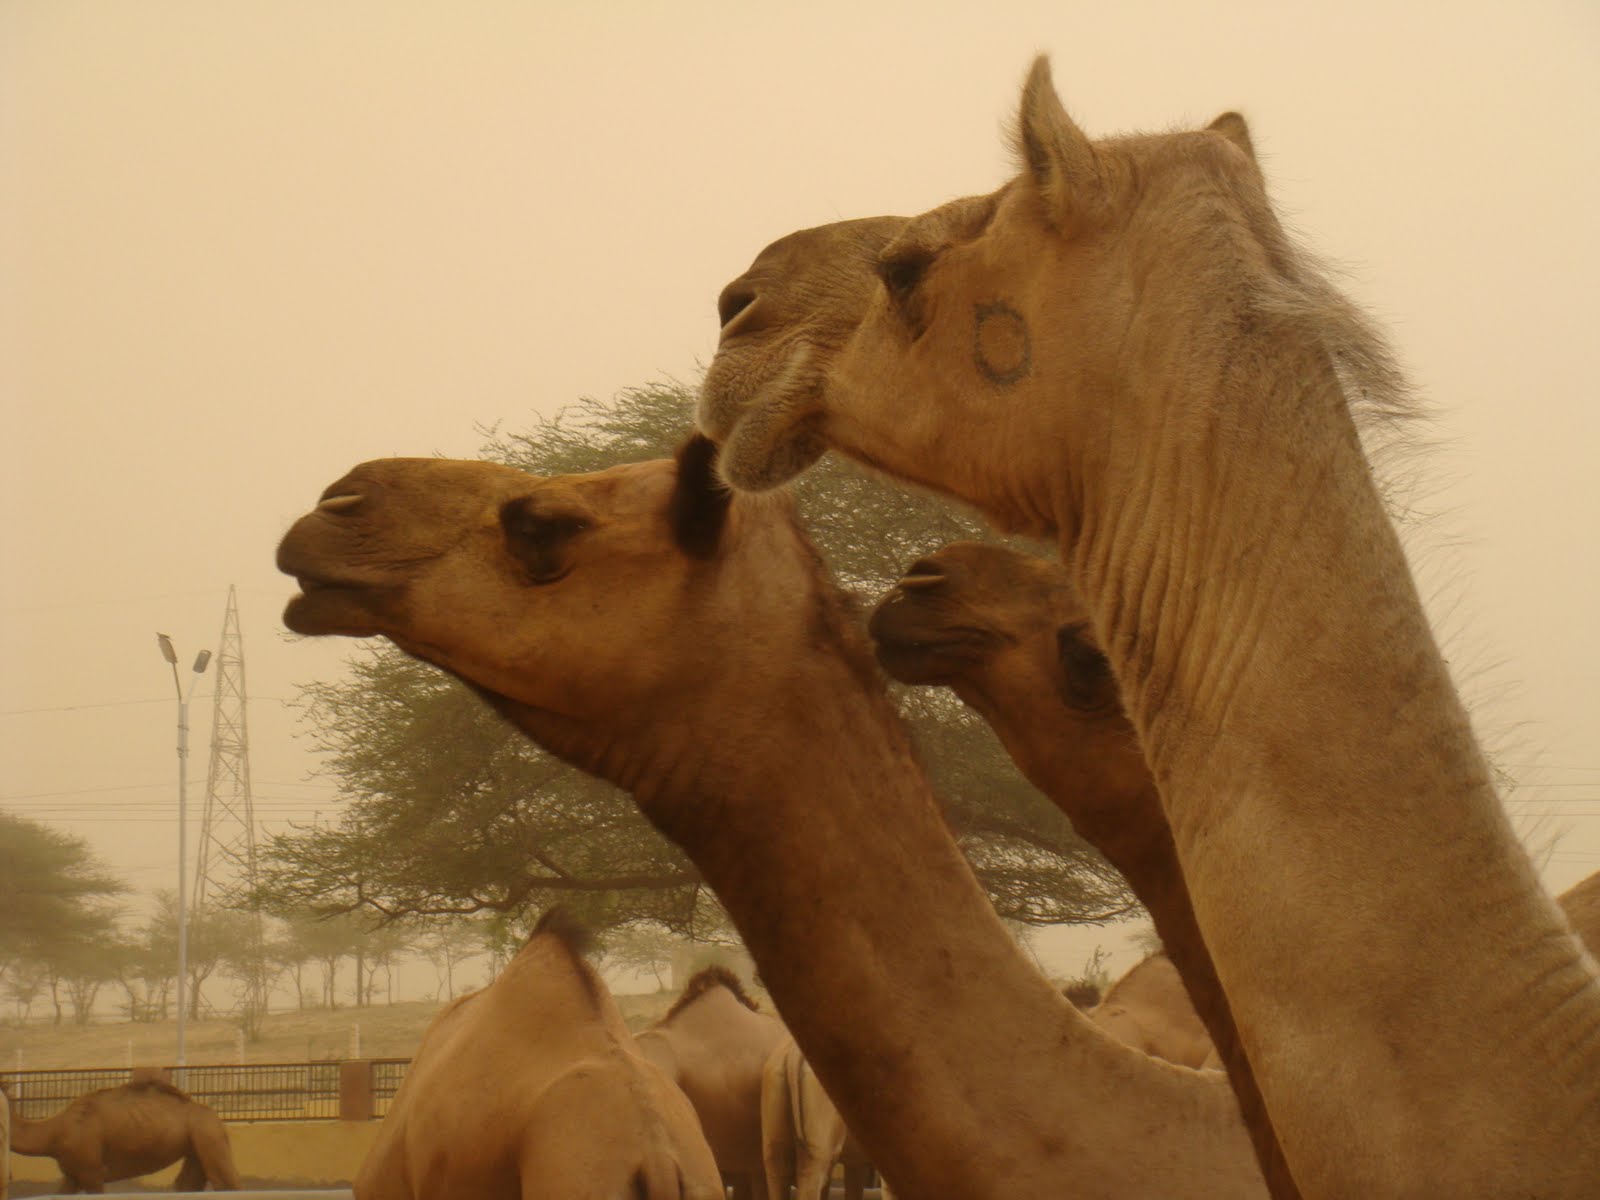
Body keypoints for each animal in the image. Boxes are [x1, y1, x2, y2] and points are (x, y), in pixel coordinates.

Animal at [4, 1078, 239, 1193]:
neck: (54, 1133)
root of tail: (217, 1117)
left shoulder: (92, 1173)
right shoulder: (72, 1175)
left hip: (209, 1135)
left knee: (226, 1183)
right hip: (196, 1146)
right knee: (188, 1184)